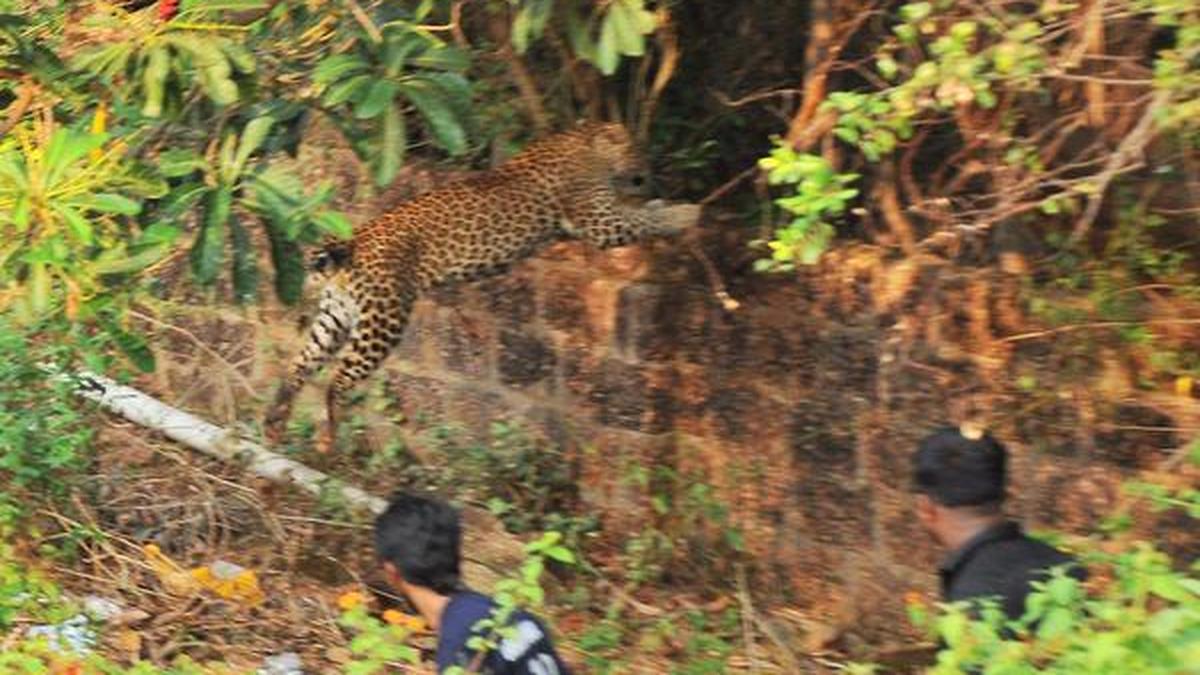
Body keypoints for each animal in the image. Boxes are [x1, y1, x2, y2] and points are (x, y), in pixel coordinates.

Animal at [263, 121, 702, 452]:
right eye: (640, 155)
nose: (652, 178)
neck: (586, 141)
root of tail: (352, 242)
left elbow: (639, 214)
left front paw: (668, 207)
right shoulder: (596, 220)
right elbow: (638, 221)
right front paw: (685, 213)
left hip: (335, 317)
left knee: (297, 365)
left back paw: (274, 422)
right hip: (383, 322)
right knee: (336, 380)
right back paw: (327, 435)